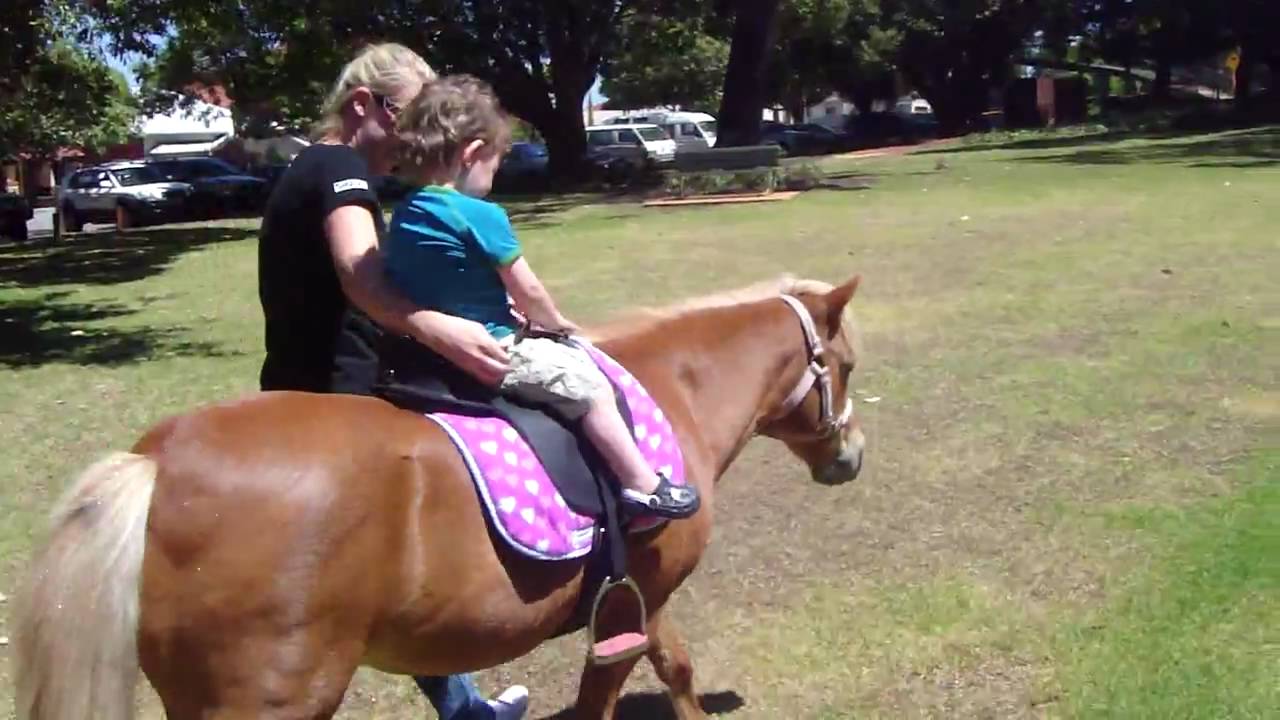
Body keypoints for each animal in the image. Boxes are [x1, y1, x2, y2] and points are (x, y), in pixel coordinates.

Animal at [13, 273, 866, 720]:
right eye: (848, 365)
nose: (851, 456)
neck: (668, 393)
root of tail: (158, 460)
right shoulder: (640, 598)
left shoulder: (637, 601)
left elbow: (676, 668)